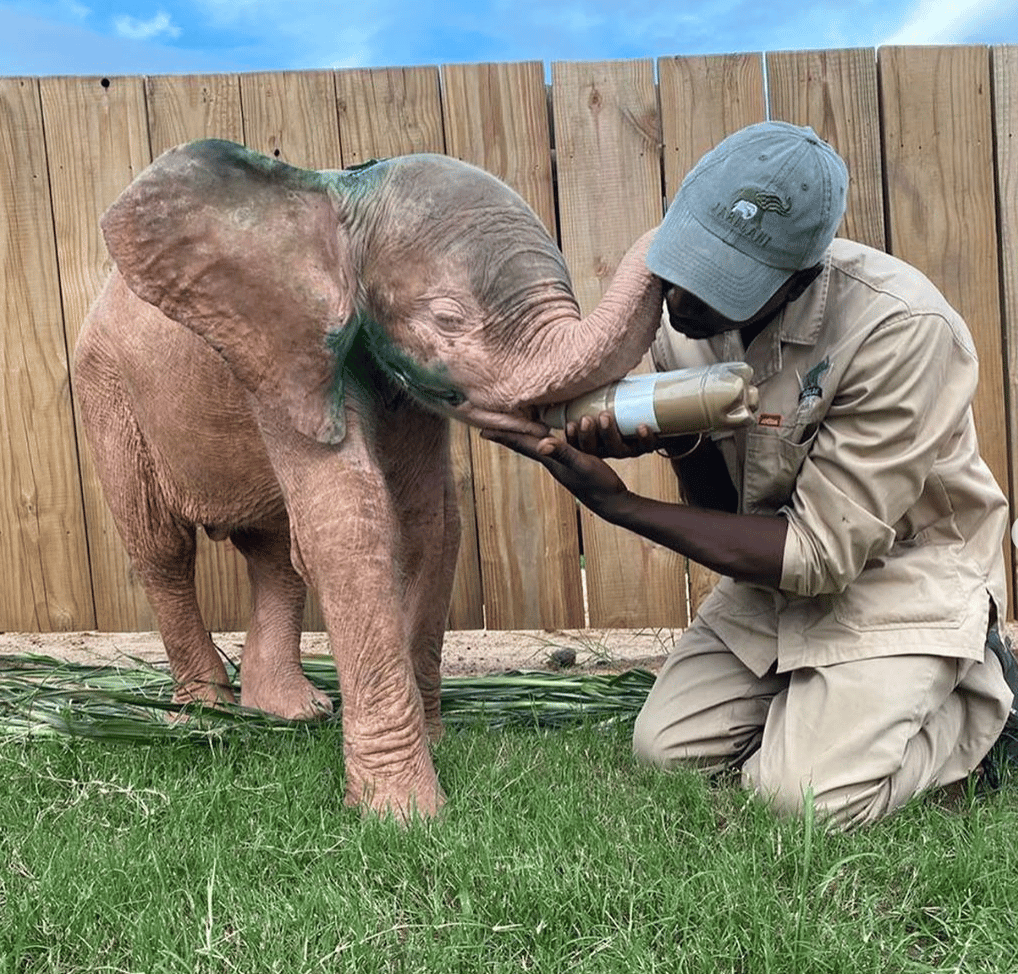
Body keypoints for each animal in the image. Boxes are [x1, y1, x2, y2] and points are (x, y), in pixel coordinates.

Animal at [74, 139, 664, 820]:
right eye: (447, 318)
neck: (338, 200)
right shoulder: (280, 356)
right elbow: (351, 521)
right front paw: (404, 815)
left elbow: (431, 520)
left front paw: (431, 747)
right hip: (107, 395)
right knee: (162, 549)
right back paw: (205, 719)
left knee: (275, 554)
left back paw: (291, 714)